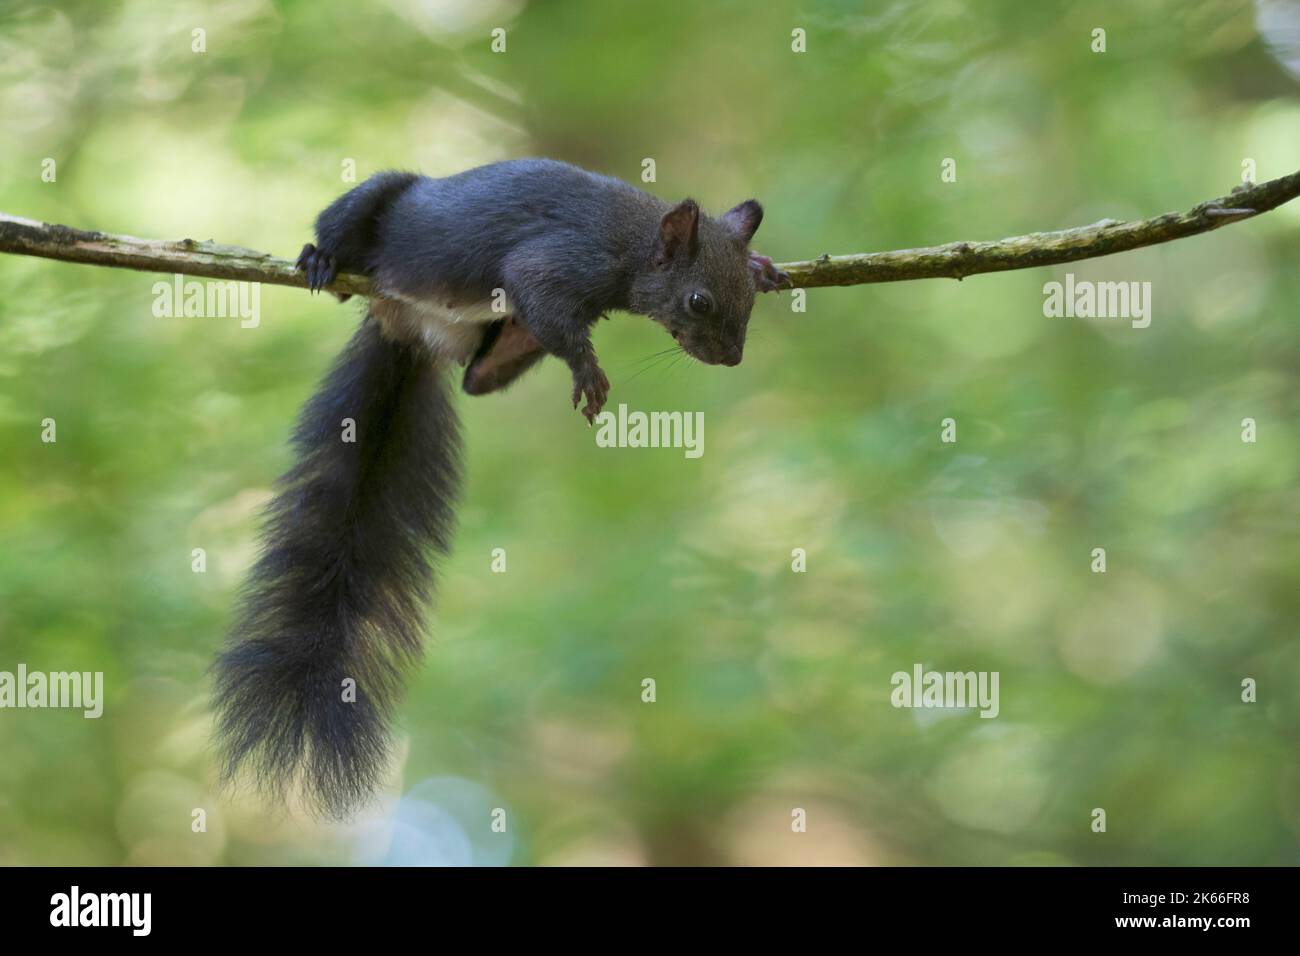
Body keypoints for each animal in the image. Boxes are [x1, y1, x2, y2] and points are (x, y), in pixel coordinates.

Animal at [212, 158, 787, 817]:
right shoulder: (560, 260)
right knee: (347, 221)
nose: (732, 357)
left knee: (482, 376)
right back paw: (320, 260)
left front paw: (763, 262)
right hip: (380, 207)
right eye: (699, 300)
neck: (636, 241)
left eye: (748, 301)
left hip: (494, 339)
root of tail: (410, 326)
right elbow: (540, 295)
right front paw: (587, 369)